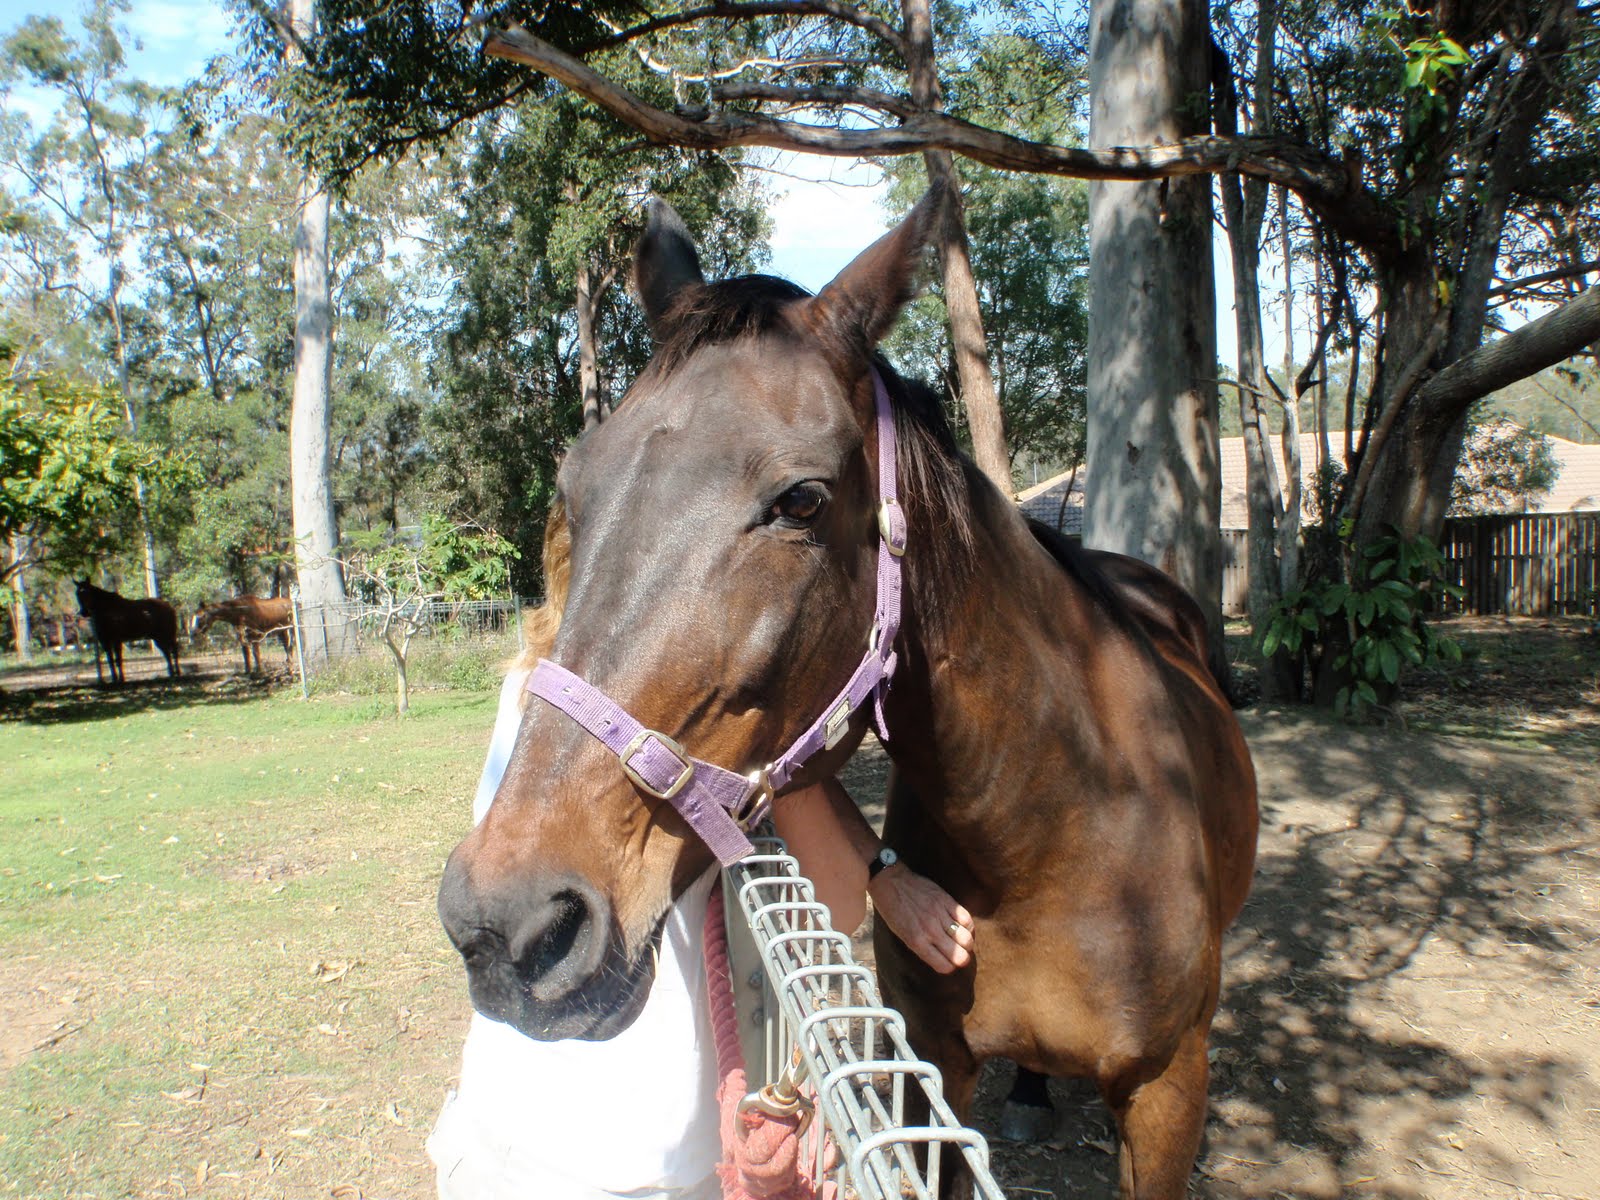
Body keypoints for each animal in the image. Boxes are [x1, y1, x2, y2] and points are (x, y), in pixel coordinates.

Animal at [435, 190, 1259, 1200]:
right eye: (574, 487)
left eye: (800, 500)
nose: (507, 924)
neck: (1066, 827)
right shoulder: (932, 1074)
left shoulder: (1167, 1092)